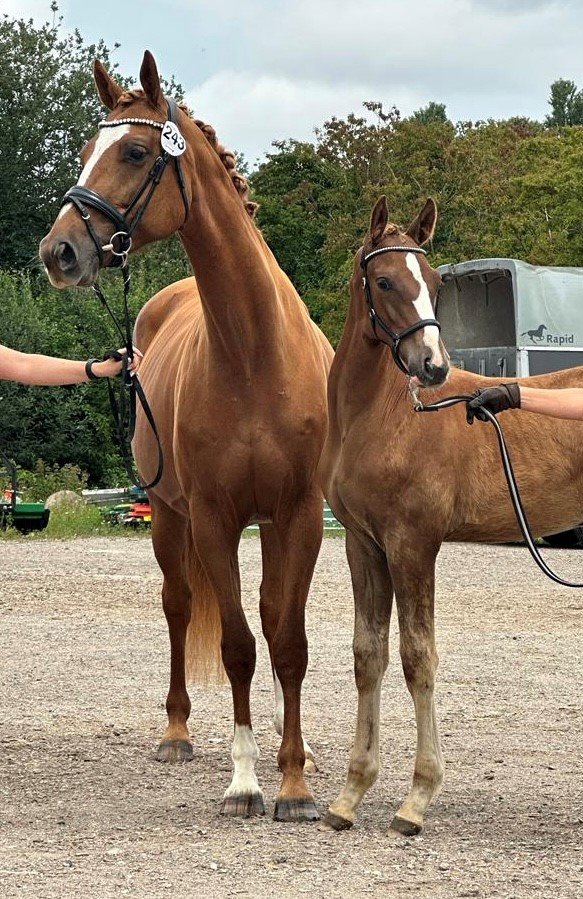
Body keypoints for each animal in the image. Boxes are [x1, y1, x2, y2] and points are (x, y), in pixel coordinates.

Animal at [40, 51, 333, 823]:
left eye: (135, 152)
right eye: (87, 150)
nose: (59, 251)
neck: (253, 351)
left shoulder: (298, 516)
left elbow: (288, 641)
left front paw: (295, 780)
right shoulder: (212, 517)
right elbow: (236, 644)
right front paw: (246, 781)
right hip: (169, 519)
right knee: (177, 608)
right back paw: (176, 733)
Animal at [320, 194, 583, 835]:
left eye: (434, 283)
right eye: (385, 281)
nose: (433, 366)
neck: (386, 415)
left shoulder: (413, 544)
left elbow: (419, 659)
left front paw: (415, 800)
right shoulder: (363, 544)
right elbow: (369, 656)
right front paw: (350, 795)